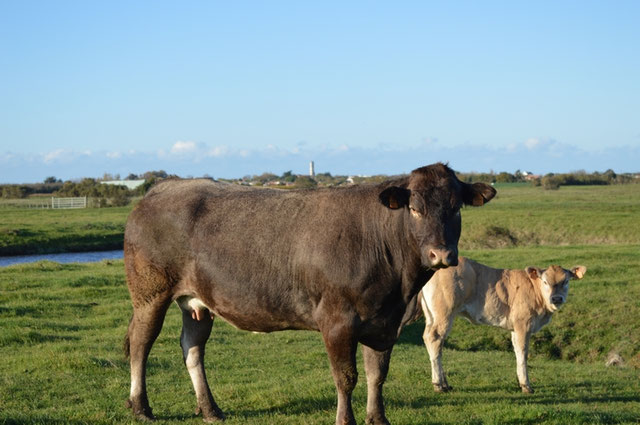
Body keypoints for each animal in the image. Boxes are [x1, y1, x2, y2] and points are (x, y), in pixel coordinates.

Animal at [122, 163, 496, 425]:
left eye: (456, 207)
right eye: (415, 209)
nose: (441, 254)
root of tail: (166, 186)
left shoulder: (384, 324)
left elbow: (377, 374)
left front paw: (378, 418)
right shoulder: (337, 321)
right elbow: (346, 378)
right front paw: (345, 420)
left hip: (197, 302)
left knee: (192, 347)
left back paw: (210, 409)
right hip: (150, 294)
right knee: (141, 344)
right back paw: (141, 407)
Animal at [414, 257, 586, 394]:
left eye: (566, 281)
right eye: (545, 282)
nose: (556, 298)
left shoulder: (515, 329)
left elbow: (516, 351)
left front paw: (520, 382)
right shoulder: (523, 324)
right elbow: (523, 353)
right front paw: (526, 386)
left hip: (432, 316)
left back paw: (445, 383)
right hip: (444, 313)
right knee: (435, 339)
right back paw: (438, 385)